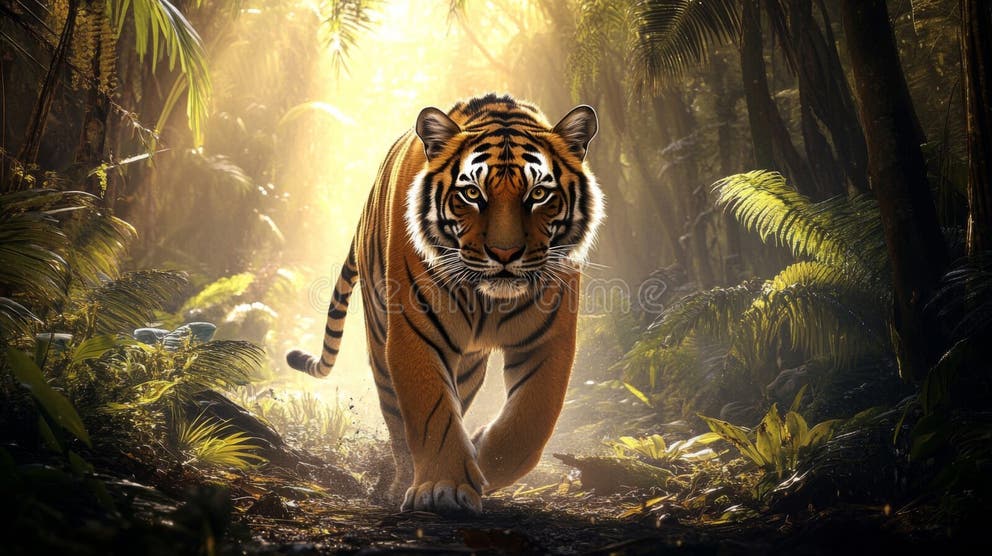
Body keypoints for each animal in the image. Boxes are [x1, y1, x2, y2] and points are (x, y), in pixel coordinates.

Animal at [287, 93, 603, 514]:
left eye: (538, 194)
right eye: (472, 194)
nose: (505, 254)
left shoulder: (549, 339)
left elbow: (529, 424)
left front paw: (482, 462)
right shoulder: (415, 335)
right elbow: (432, 413)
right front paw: (443, 488)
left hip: (467, 363)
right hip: (380, 335)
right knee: (396, 417)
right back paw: (400, 480)